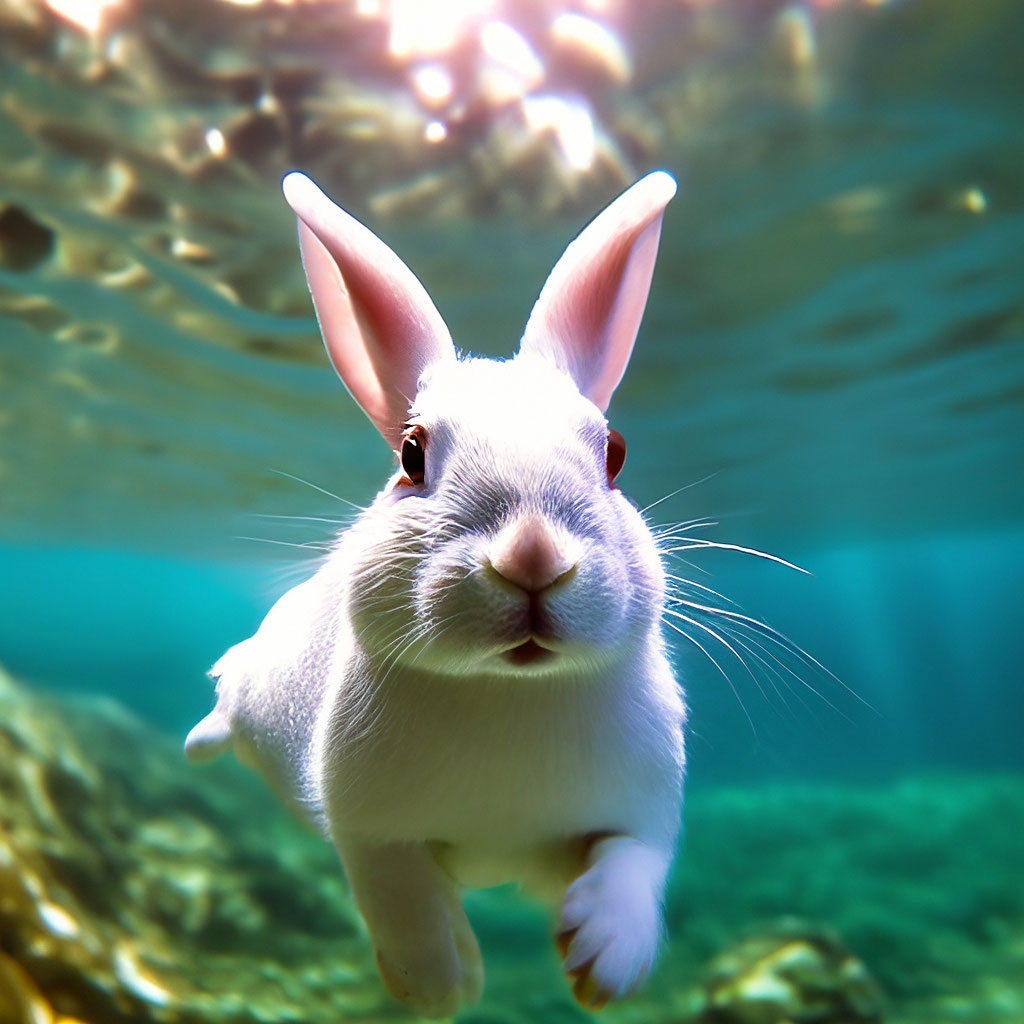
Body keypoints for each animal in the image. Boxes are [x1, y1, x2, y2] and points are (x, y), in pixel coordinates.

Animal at [185, 169, 686, 1018]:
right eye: (412, 454)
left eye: (614, 454)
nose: (531, 554)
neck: (510, 692)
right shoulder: (371, 833)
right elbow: (405, 899)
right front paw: (440, 985)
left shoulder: (643, 812)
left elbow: (631, 865)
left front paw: (603, 961)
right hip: (253, 681)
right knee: (226, 701)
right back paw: (198, 742)